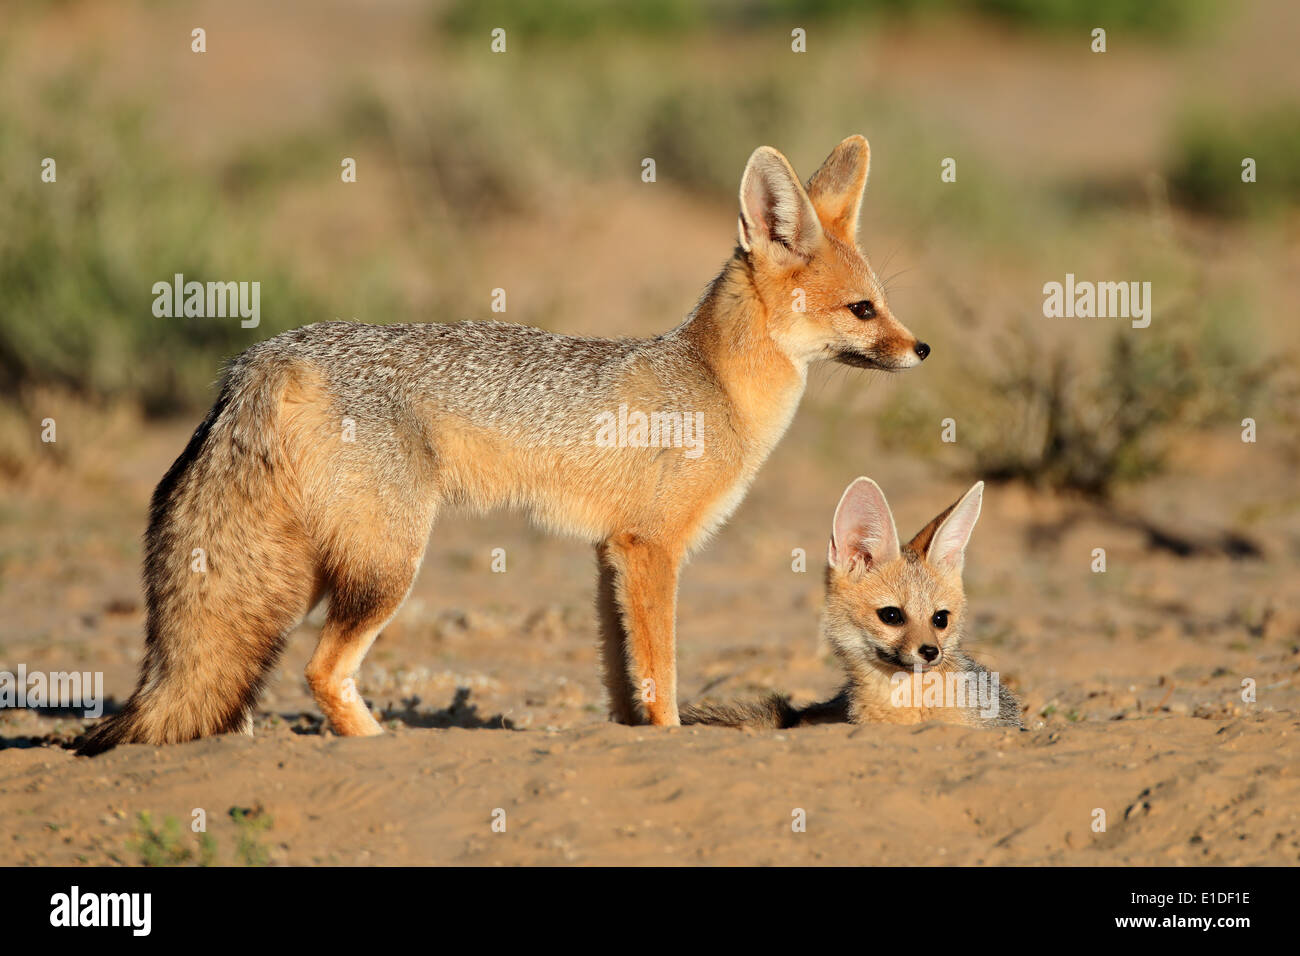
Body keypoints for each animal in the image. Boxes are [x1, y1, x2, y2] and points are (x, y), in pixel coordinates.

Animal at [77, 135, 930, 756]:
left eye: (885, 303)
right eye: (862, 311)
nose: (921, 349)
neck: (713, 383)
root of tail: (269, 352)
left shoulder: (610, 551)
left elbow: (623, 676)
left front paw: (626, 735)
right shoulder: (652, 548)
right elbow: (661, 674)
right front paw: (669, 738)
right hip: (388, 567)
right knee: (320, 670)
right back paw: (379, 742)